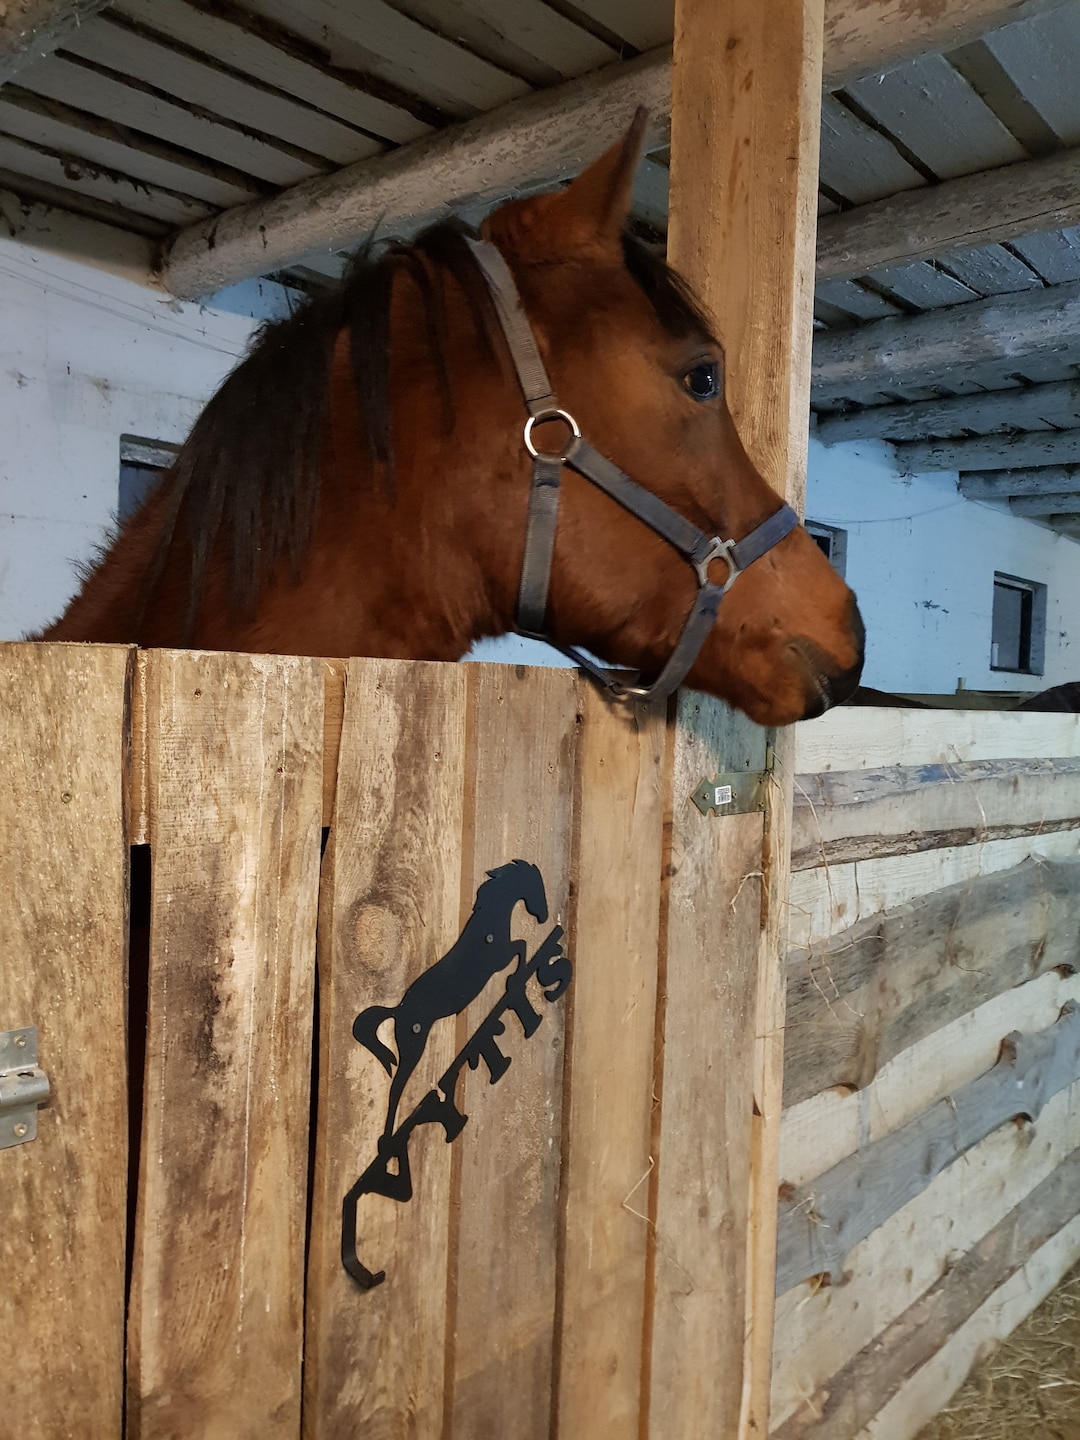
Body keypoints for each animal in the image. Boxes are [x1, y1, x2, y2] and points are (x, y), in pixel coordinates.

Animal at [351, 859, 548, 1144]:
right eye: (536, 887)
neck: (490, 922)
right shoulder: (499, 958)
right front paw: (514, 980)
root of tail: (398, 1011)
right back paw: (387, 1137)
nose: (544, 916)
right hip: (413, 1045)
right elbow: (520, 946)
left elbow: (521, 946)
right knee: (397, 1087)